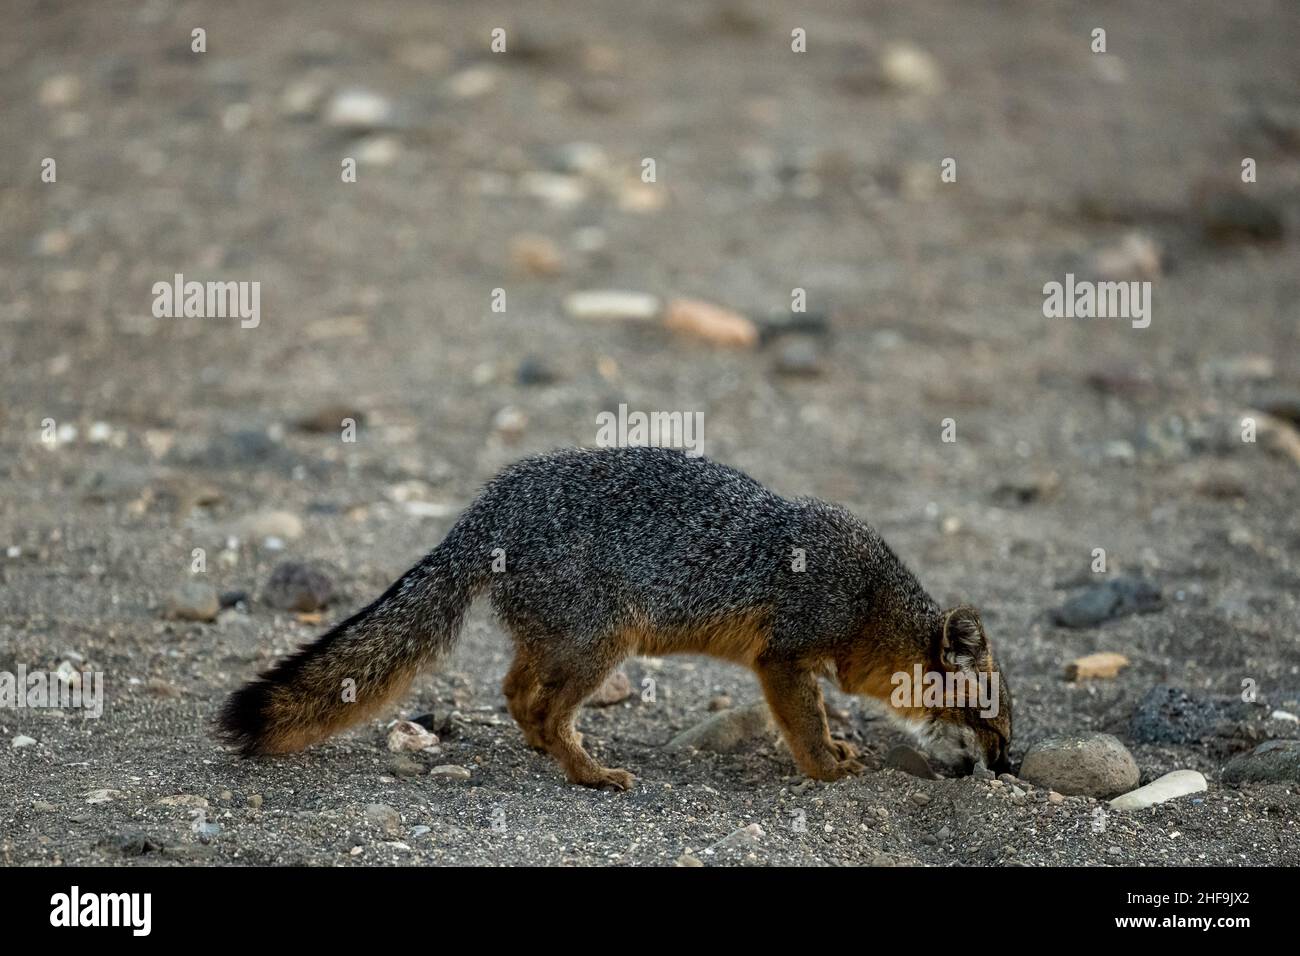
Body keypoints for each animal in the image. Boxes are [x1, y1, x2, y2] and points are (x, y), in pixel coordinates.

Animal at [218, 445, 1012, 789]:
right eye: (991, 722)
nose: (1004, 768)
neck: (872, 599)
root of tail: (484, 509)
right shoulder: (782, 657)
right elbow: (807, 726)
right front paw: (828, 768)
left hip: (561, 641)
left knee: (518, 693)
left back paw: (547, 750)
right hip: (604, 646)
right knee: (544, 706)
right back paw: (589, 773)